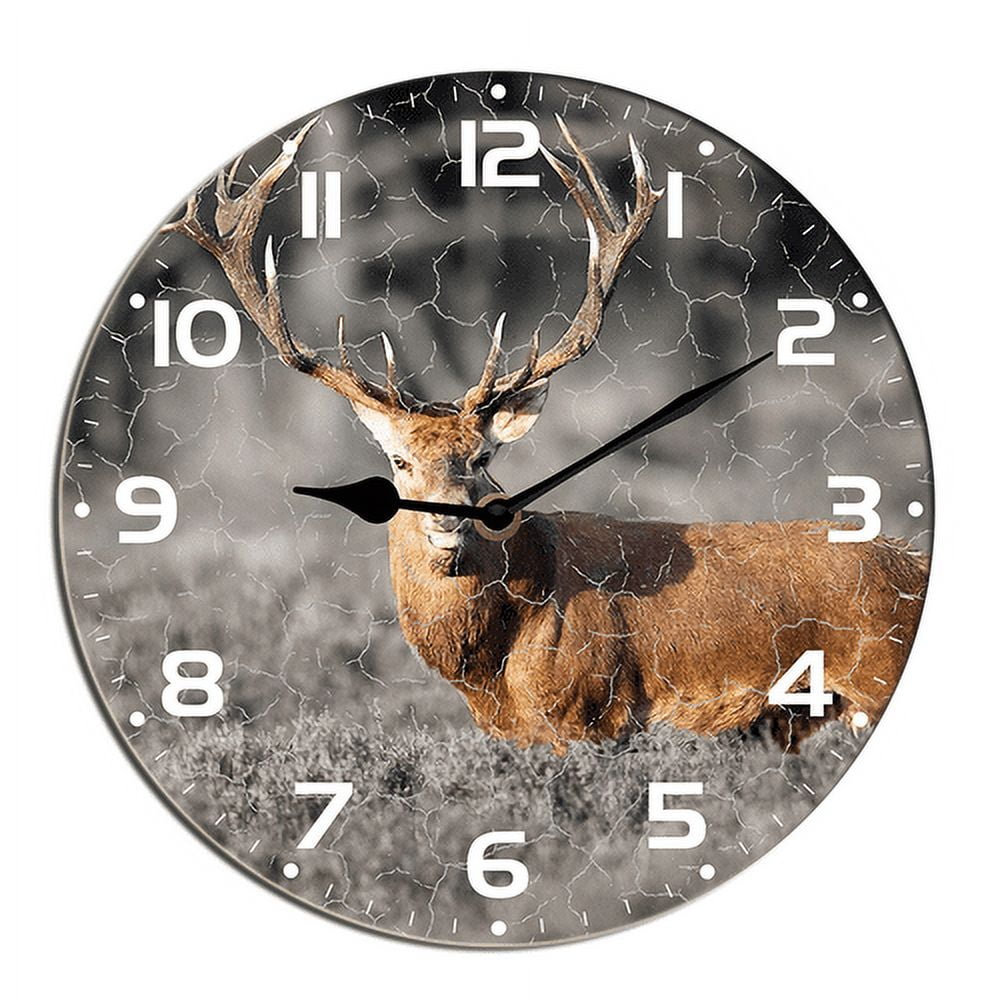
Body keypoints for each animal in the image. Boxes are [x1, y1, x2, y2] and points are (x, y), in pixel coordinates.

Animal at [161, 115, 928, 753]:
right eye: (400, 461)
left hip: (877, 675)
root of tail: (912, 564)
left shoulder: (595, 714)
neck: (492, 670)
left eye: (480, 458)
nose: (446, 521)